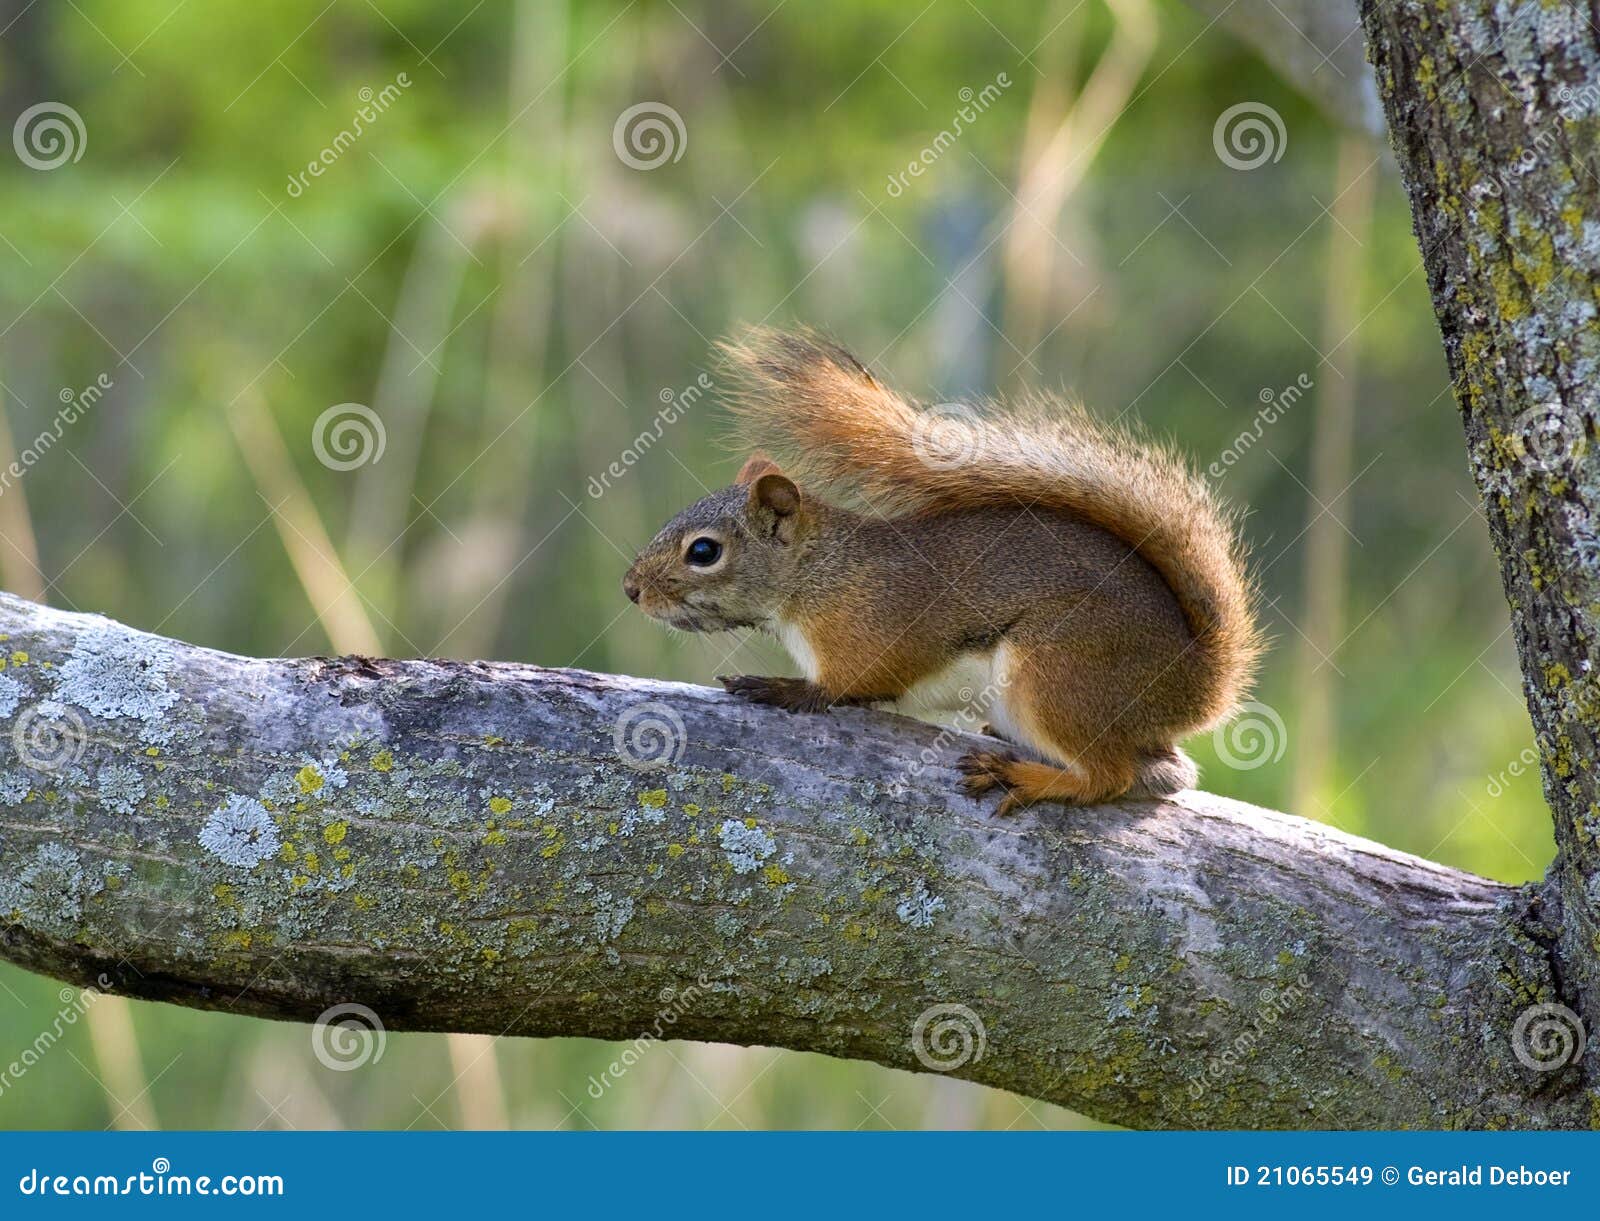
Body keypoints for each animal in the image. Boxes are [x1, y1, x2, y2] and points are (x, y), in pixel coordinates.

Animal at [622, 327, 1263, 813]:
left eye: (704, 552)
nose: (631, 590)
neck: (819, 573)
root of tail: (1196, 682)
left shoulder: (872, 628)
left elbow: (850, 684)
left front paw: (783, 688)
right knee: (1164, 774)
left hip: (1061, 671)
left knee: (1111, 775)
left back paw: (1024, 777)